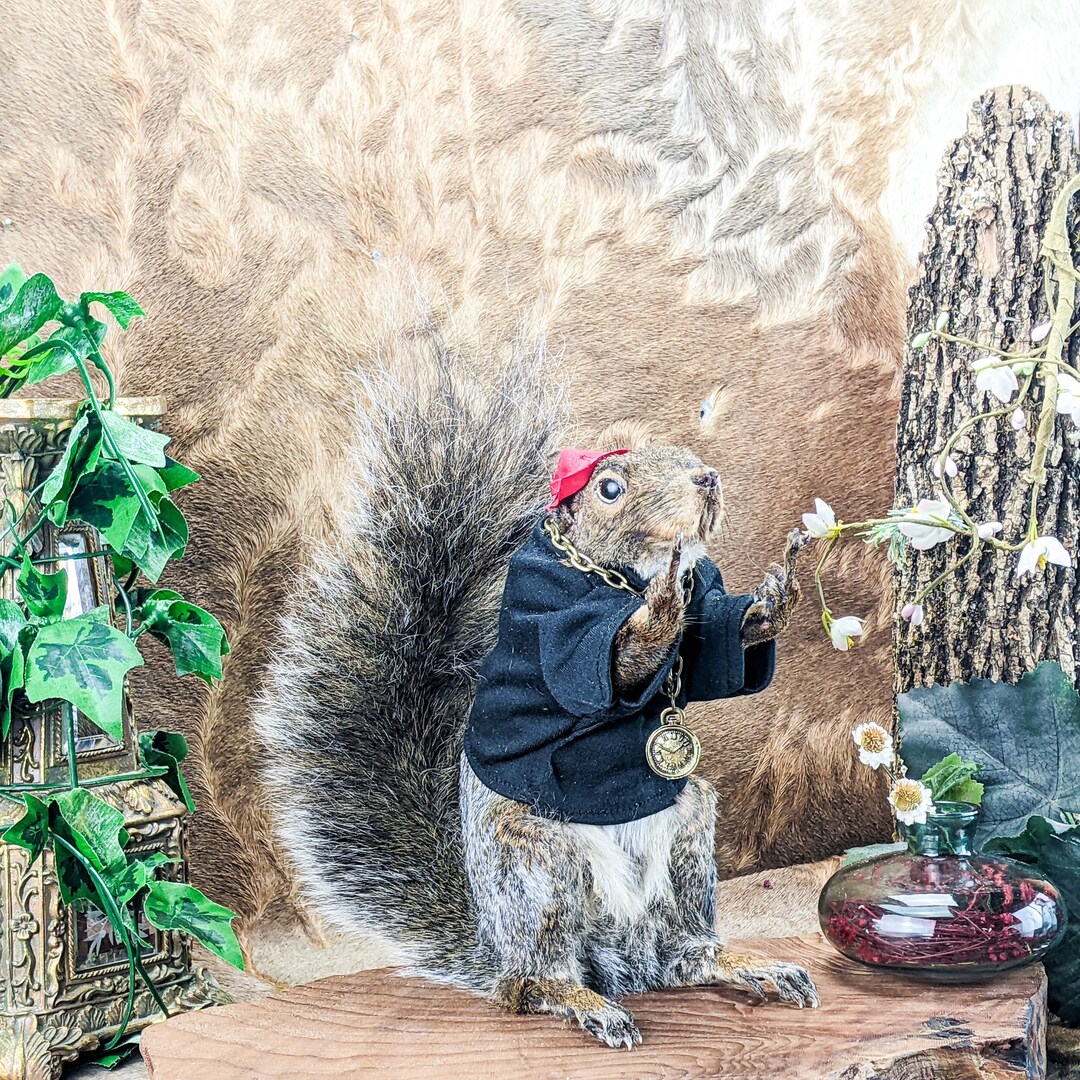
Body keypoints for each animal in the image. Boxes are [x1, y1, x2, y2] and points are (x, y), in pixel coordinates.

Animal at [256, 337, 818, 1050]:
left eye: (686, 454)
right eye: (609, 487)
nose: (707, 479)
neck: (618, 576)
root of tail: (617, 955)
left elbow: (713, 660)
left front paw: (772, 600)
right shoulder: (551, 617)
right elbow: (616, 662)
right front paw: (664, 601)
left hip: (689, 843)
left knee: (687, 955)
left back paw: (747, 964)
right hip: (538, 869)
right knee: (534, 985)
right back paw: (584, 1001)